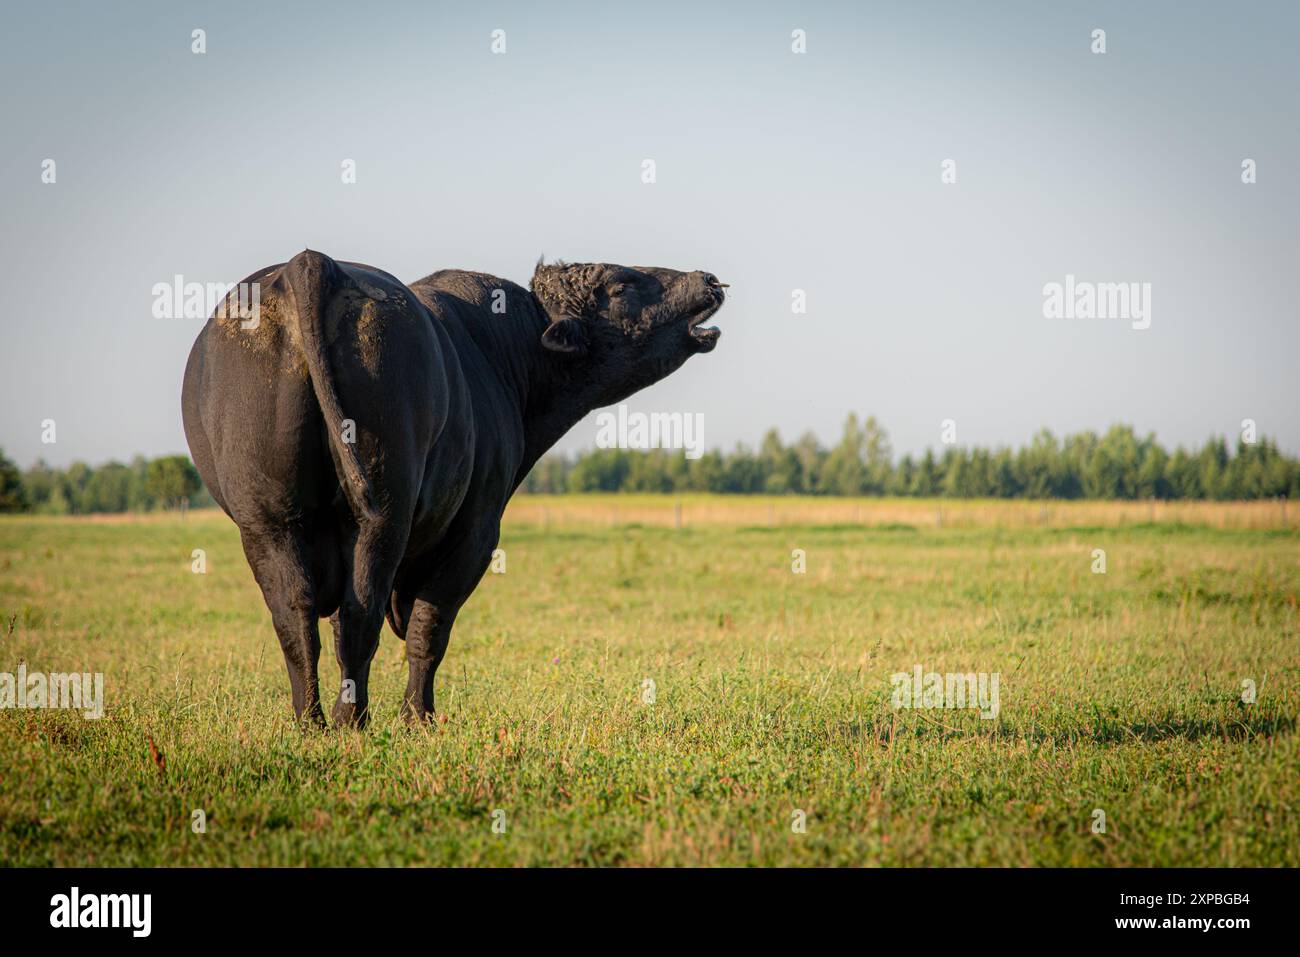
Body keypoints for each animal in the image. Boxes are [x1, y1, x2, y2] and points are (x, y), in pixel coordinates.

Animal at [181, 250, 726, 727]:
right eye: (620, 285)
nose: (709, 280)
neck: (506, 359)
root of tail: (315, 262)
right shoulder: (476, 533)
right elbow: (430, 627)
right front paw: (418, 718)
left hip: (267, 520)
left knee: (297, 614)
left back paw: (310, 721)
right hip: (385, 514)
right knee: (363, 614)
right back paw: (352, 721)